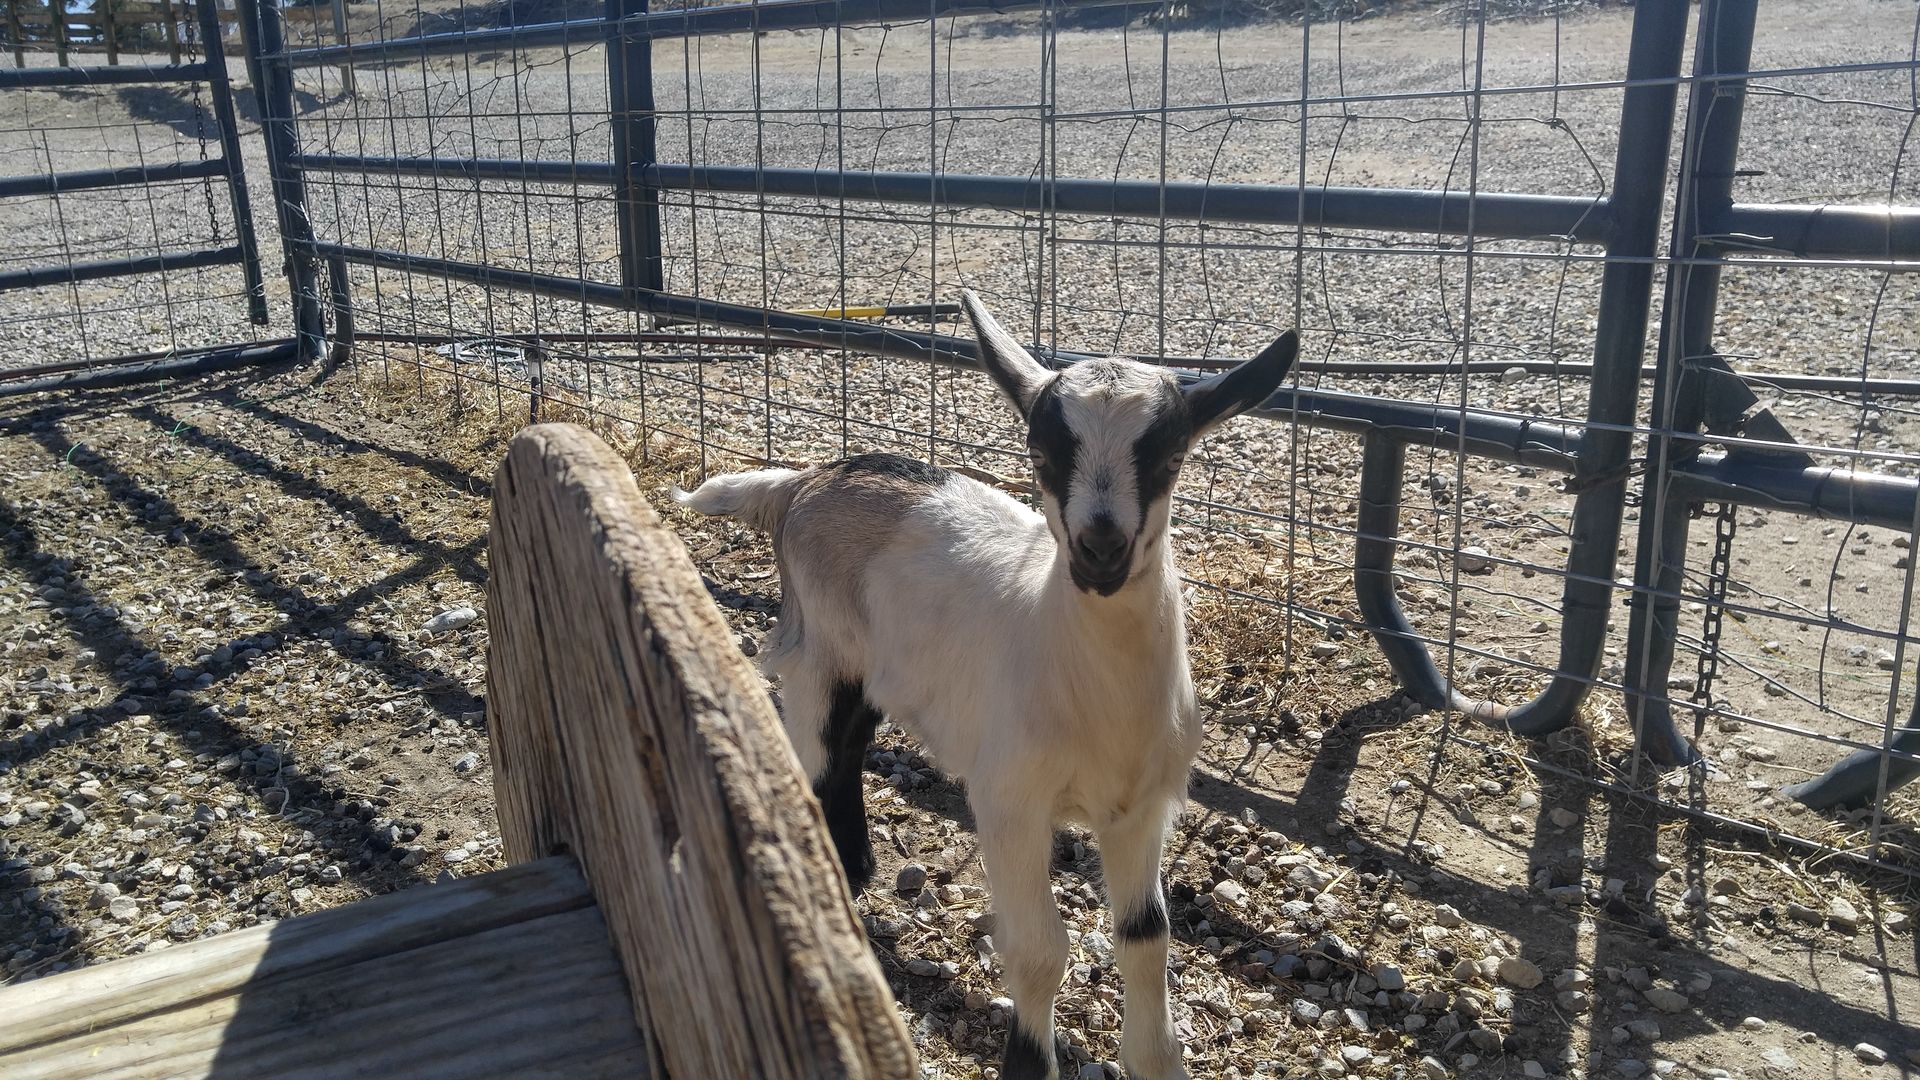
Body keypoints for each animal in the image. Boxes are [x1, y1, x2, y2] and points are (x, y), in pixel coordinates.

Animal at [673, 291, 1297, 1080]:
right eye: (1042, 454)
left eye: (1168, 456)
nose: (1100, 548)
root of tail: (804, 482)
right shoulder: (1010, 801)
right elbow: (1038, 952)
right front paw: (1028, 1063)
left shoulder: (1141, 808)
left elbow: (1147, 940)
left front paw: (1155, 1060)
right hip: (818, 651)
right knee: (816, 761)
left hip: (876, 670)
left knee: (849, 749)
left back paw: (856, 871)